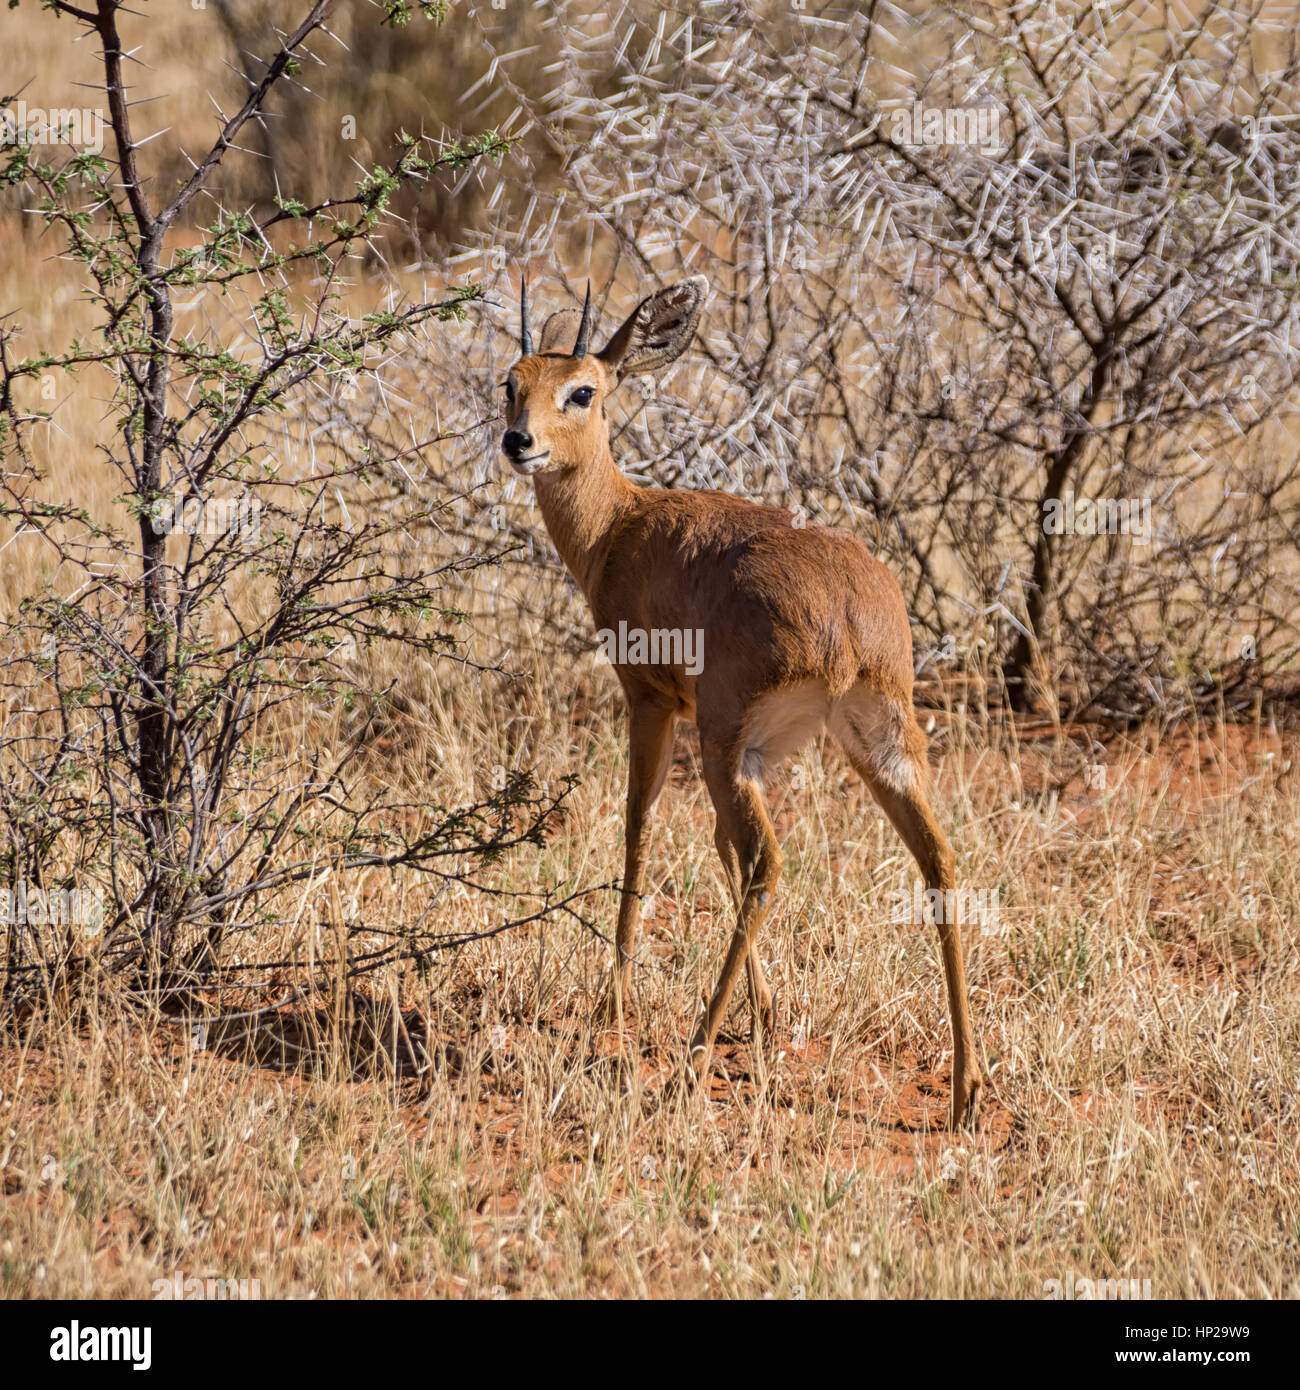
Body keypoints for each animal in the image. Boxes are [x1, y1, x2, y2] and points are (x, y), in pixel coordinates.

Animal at [499, 276, 982, 1126]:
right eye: (510, 383)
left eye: (582, 389)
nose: (518, 442)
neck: (619, 526)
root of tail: (850, 617)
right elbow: (717, 846)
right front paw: (763, 1015)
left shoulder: (652, 703)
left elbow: (639, 831)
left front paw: (611, 1005)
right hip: (871, 743)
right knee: (937, 861)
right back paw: (965, 1090)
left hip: (734, 741)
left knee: (766, 864)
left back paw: (687, 1067)